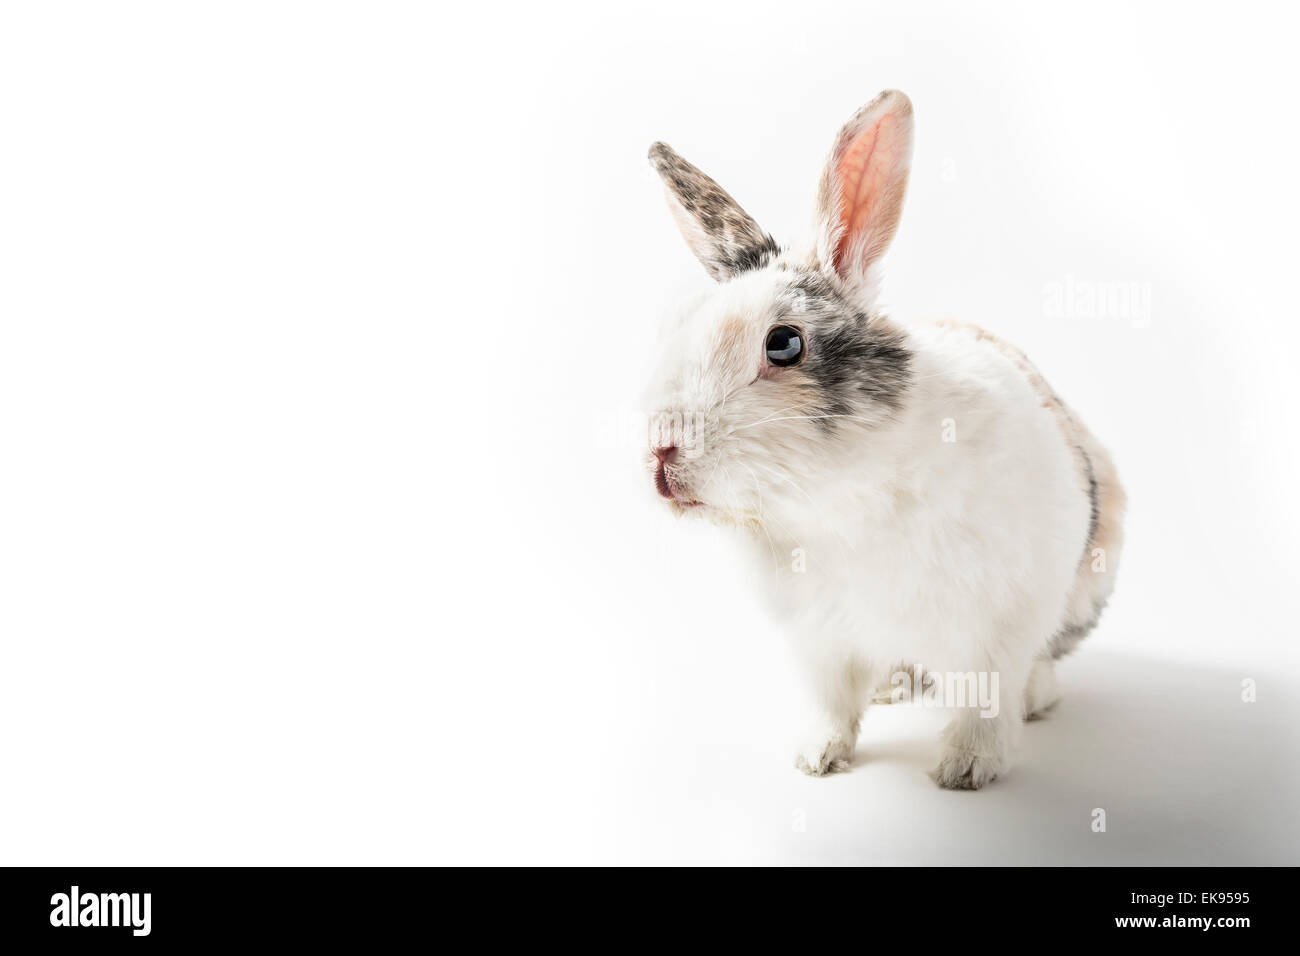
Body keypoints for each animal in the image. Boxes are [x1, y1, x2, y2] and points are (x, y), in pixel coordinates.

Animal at [643, 90, 1125, 789]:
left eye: (783, 344)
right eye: (678, 328)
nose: (661, 453)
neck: (844, 498)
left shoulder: (1001, 627)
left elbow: (989, 699)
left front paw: (967, 770)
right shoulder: (820, 643)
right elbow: (832, 704)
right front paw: (816, 758)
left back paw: (1034, 700)